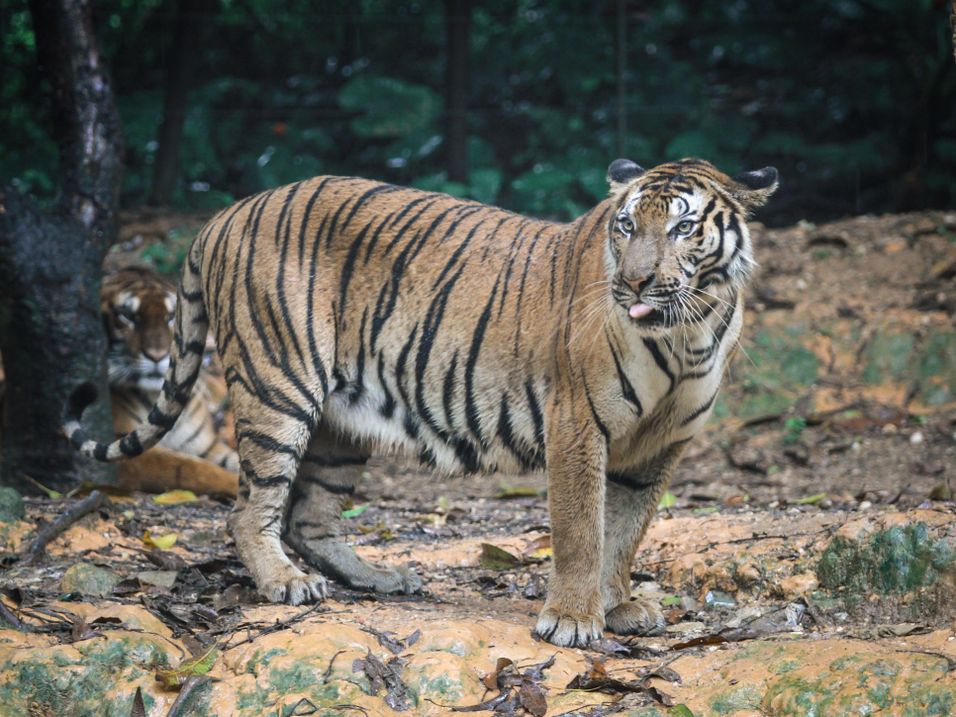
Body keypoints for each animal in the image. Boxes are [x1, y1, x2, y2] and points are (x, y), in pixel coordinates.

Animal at [100, 267, 238, 493]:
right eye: (128, 316)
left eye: (172, 317)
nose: (157, 355)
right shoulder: (124, 446)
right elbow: (188, 468)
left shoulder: (206, 446)